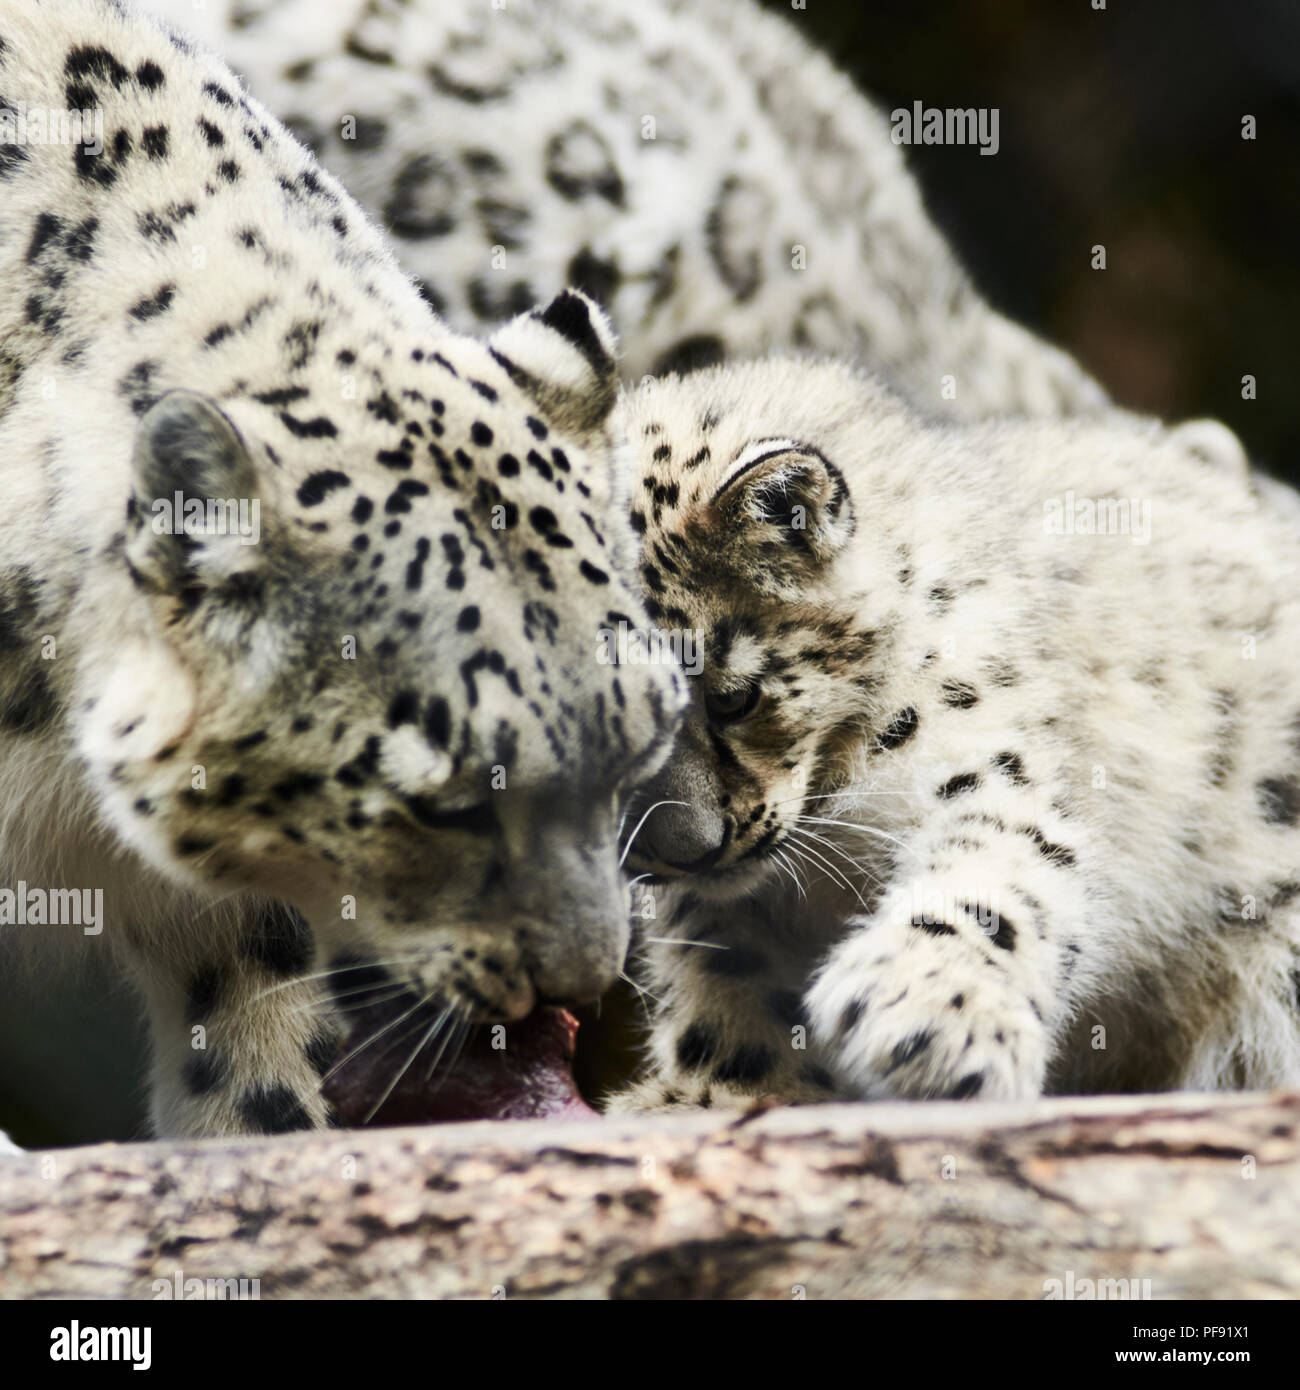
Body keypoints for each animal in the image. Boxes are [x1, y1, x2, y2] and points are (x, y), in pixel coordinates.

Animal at [603, 358, 1300, 1112]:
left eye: (734, 698)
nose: (691, 852)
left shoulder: (985, 749)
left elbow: (998, 868)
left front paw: (934, 1016)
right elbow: (726, 968)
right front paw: (727, 1089)